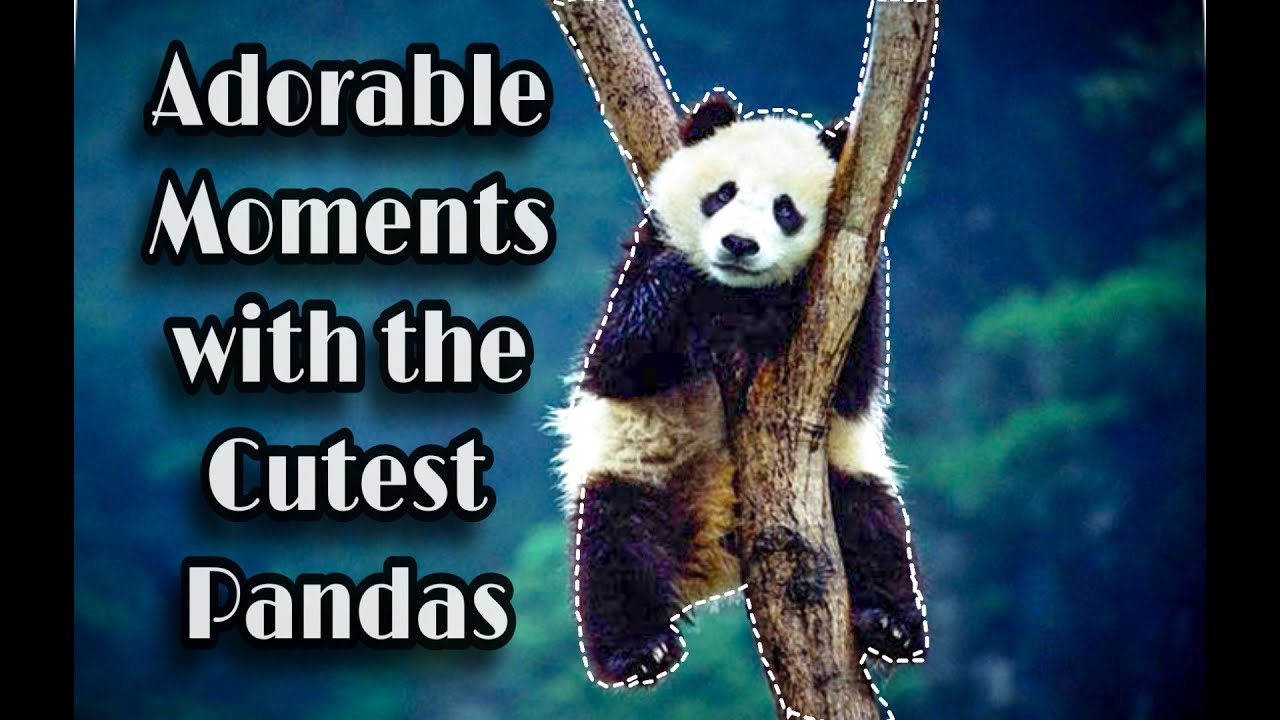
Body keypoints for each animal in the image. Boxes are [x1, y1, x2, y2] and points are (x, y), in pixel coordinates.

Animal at [549, 94, 925, 685]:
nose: (737, 245)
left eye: (785, 210)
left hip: (839, 477)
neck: (737, 293)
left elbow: (854, 379)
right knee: (616, 550)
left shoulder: (837, 297)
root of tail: (712, 561)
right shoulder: (642, 257)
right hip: (637, 470)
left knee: (873, 526)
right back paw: (640, 649)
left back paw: (890, 623)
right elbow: (619, 359)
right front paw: (684, 276)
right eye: (721, 194)